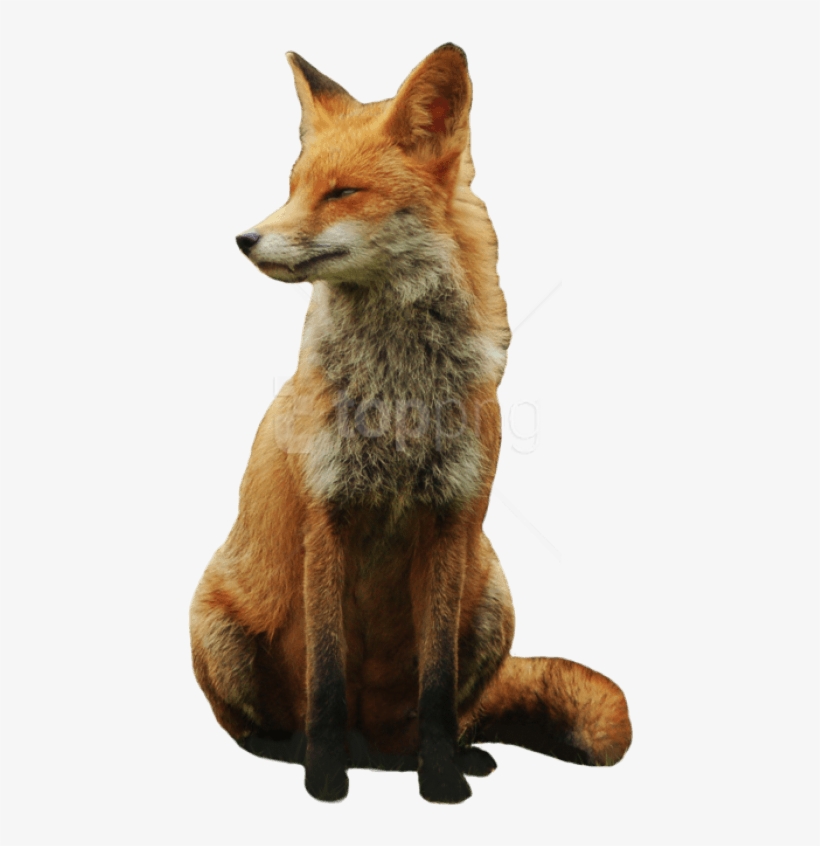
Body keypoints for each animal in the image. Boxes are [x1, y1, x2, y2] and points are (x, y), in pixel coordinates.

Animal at [190, 43, 632, 804]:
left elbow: (435, 686)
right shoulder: (327, 517)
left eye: (341, 193)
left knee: (449, 712)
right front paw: (324, 778)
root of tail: (374, 741)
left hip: (491, 599)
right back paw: (293, 751)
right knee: (254, 727)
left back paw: (438, 756)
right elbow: (327, 678)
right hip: (215, 620)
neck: (400, 400)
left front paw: (442, 780)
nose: (245, 238)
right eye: (293, 186)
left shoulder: (453, 518)